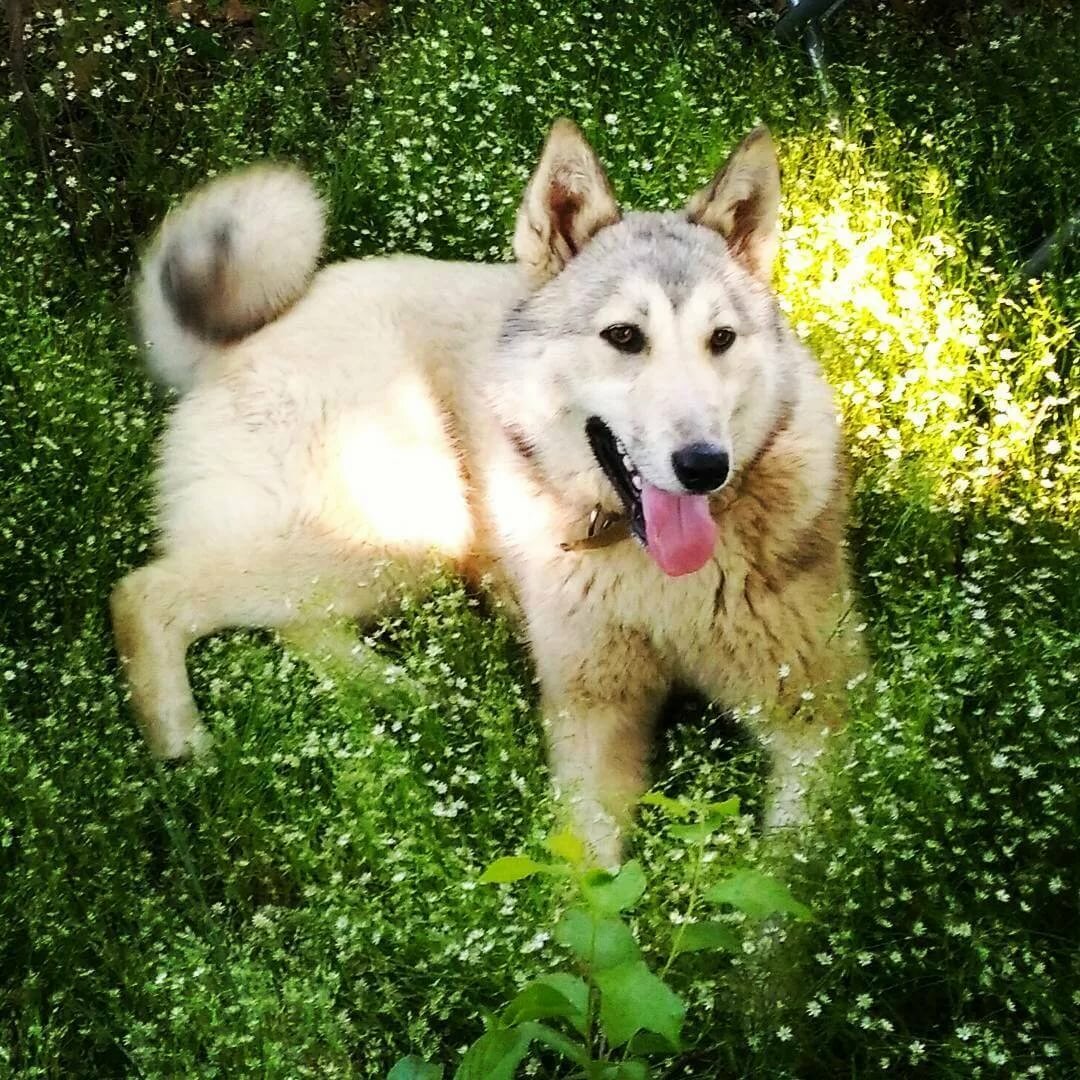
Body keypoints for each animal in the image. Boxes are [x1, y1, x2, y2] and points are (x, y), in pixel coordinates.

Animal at [111, 118, 859, 864]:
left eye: (722, 339)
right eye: (624, 336)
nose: (705, 465)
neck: (654, 582)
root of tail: (228, 346)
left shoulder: (817, 717)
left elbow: (780, 876)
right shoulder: (592, 717)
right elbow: (590, 872)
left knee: (298, 625)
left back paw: (407, 695)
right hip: (411, 526)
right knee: (149, 595)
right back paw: (188, 754)